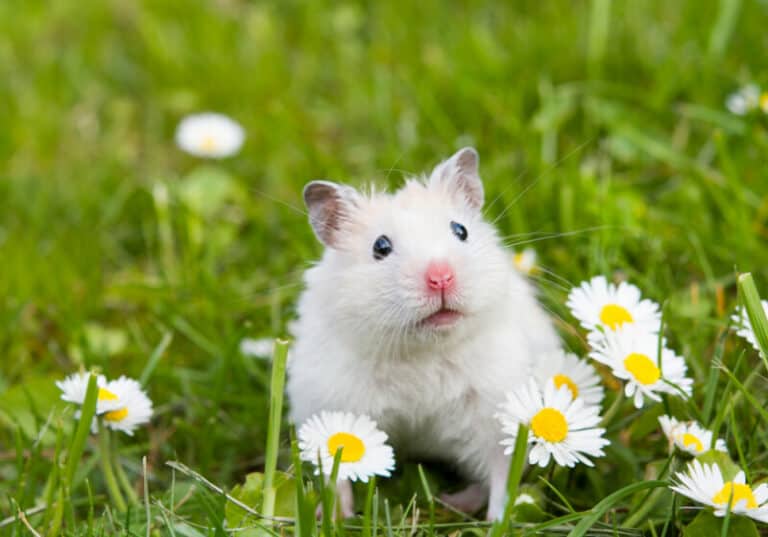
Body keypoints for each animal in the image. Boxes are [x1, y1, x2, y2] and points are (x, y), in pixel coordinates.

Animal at [287, 147, 561, 519]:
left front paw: (497, 522)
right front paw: (334, 517)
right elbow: (337, 473)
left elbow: (502, 476)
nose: (441, 277)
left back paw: (451, 502)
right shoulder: (331, 406)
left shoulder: (495, 416)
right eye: (381, 246)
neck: (422, 351)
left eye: (460, 230)